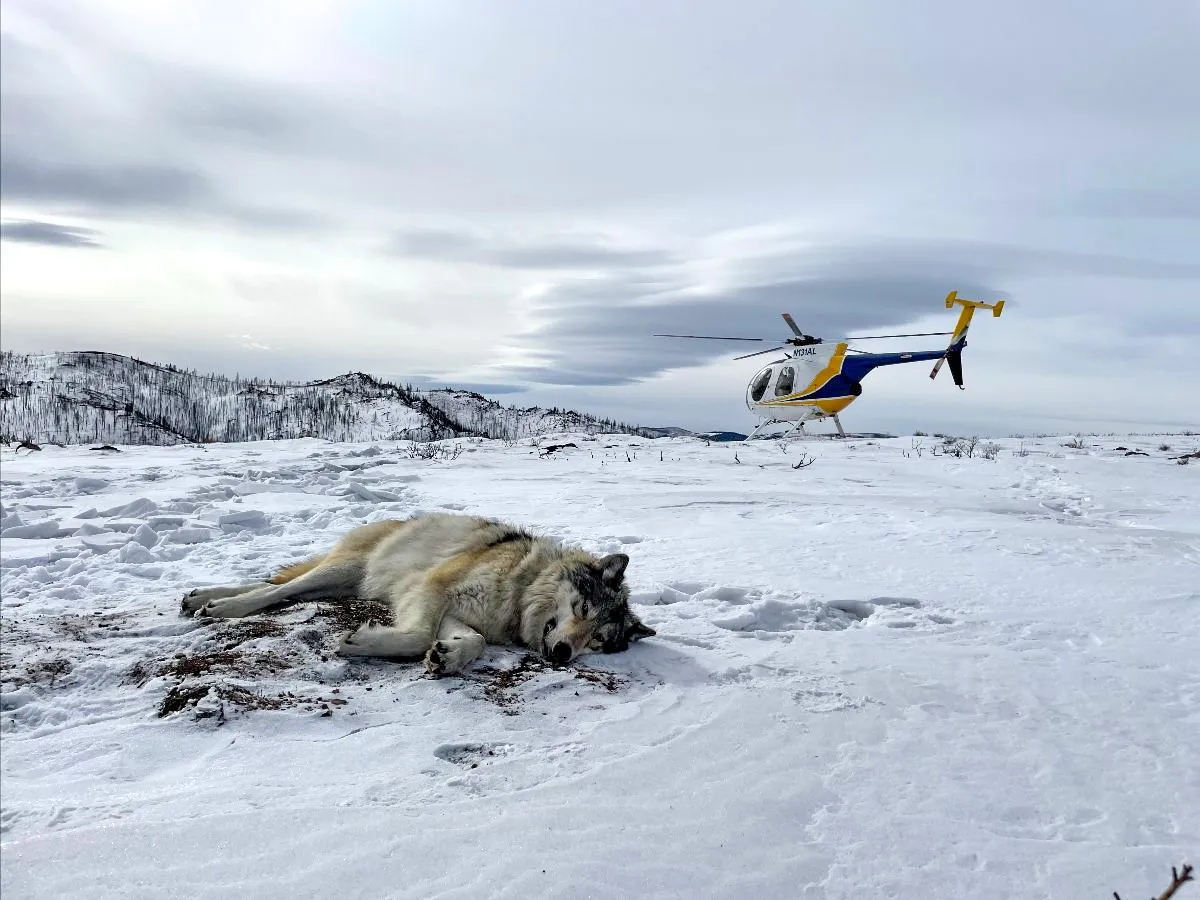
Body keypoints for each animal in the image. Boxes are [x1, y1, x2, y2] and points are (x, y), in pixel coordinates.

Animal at [180, 513, 655, 676]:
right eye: (583, 607)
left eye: (598, 640)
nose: (561, 654)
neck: (521, 587)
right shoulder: (430, 588)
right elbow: (419, 635)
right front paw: (362, 642)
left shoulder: (460, 613)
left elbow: (473, 641)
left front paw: (448, 657)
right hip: (346, 568)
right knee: (276, 588)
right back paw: (221, 605)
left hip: (342, 581)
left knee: (277, 587)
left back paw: (200, 597)